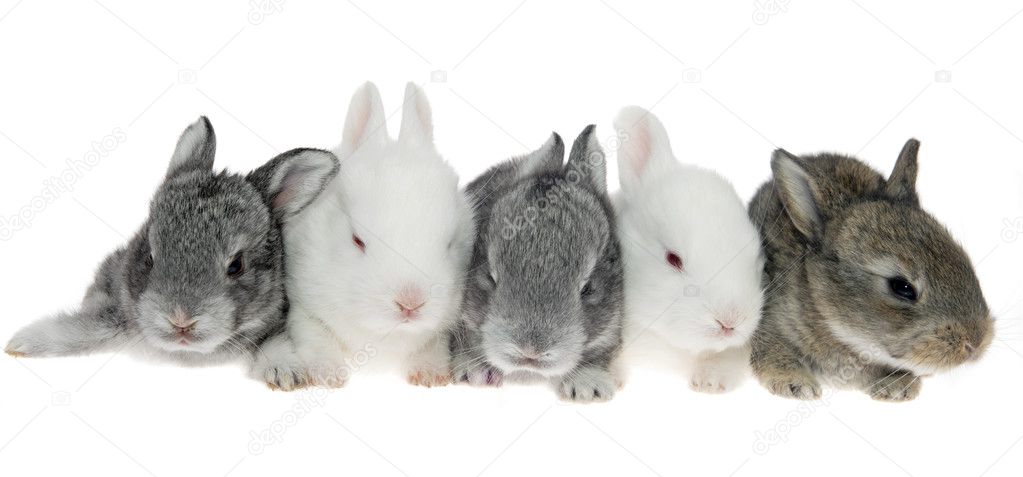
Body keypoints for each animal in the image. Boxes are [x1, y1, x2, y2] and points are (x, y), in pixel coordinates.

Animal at [4, 117, 340, 377]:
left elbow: (276, 340)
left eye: (237, 265)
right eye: (150, 257)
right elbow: (88, 326)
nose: (180, 320)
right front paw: (24, 343)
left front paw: (286, 371)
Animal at [254, 82, 475, 390]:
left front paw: (429, 375)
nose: (410, 304)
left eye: (450, 243)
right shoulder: (303, 306)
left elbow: (434, 344)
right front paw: (328, 375)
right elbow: (314, 336)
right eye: (357, 241)